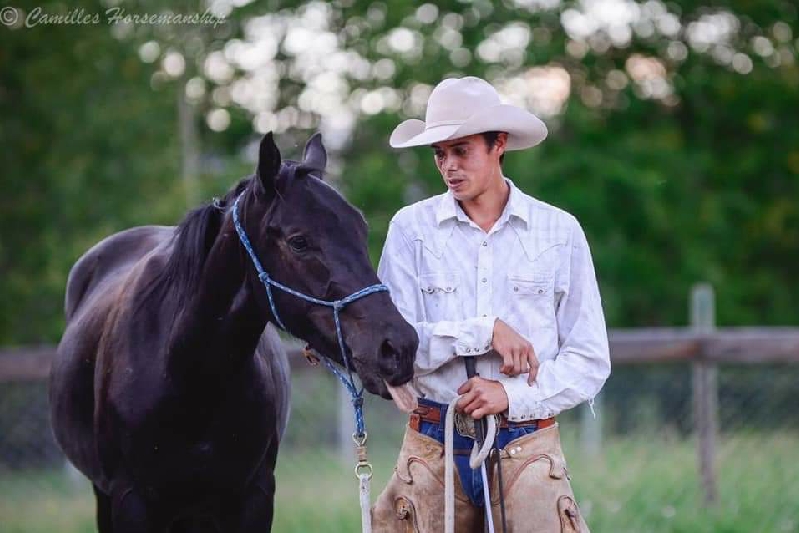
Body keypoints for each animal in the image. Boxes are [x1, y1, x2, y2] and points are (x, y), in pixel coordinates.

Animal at [49, 132, 418, 532]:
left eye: (361, 230)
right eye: (299, 241)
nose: (398, 347)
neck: (187, 377)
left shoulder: (253, 497)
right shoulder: (129, 500)